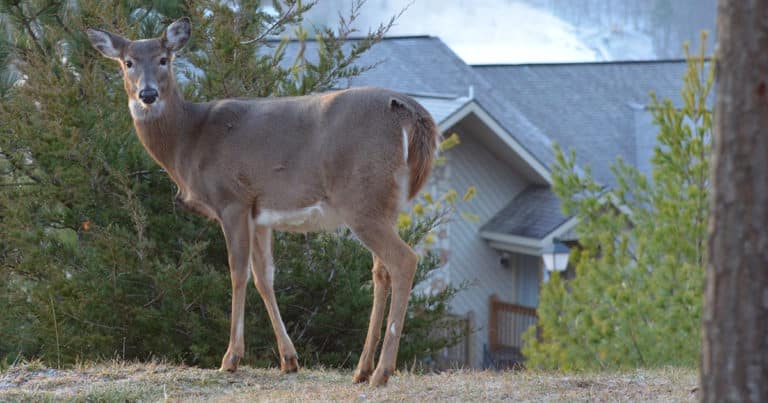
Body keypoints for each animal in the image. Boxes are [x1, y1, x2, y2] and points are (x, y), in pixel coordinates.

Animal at [86, 17, 438, 387]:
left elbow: (237, 272)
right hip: (383, 203)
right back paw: (362, 368)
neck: (188, 141)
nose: (148, 94)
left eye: (164, 59)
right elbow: (264, 277)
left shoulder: (232, 199)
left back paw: (382, 371)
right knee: (381, 271)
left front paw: (230, 358)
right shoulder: (260, 214)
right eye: (128, 62)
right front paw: (288, 359)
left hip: (360, 198)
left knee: (404, 260)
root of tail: (414, 114)